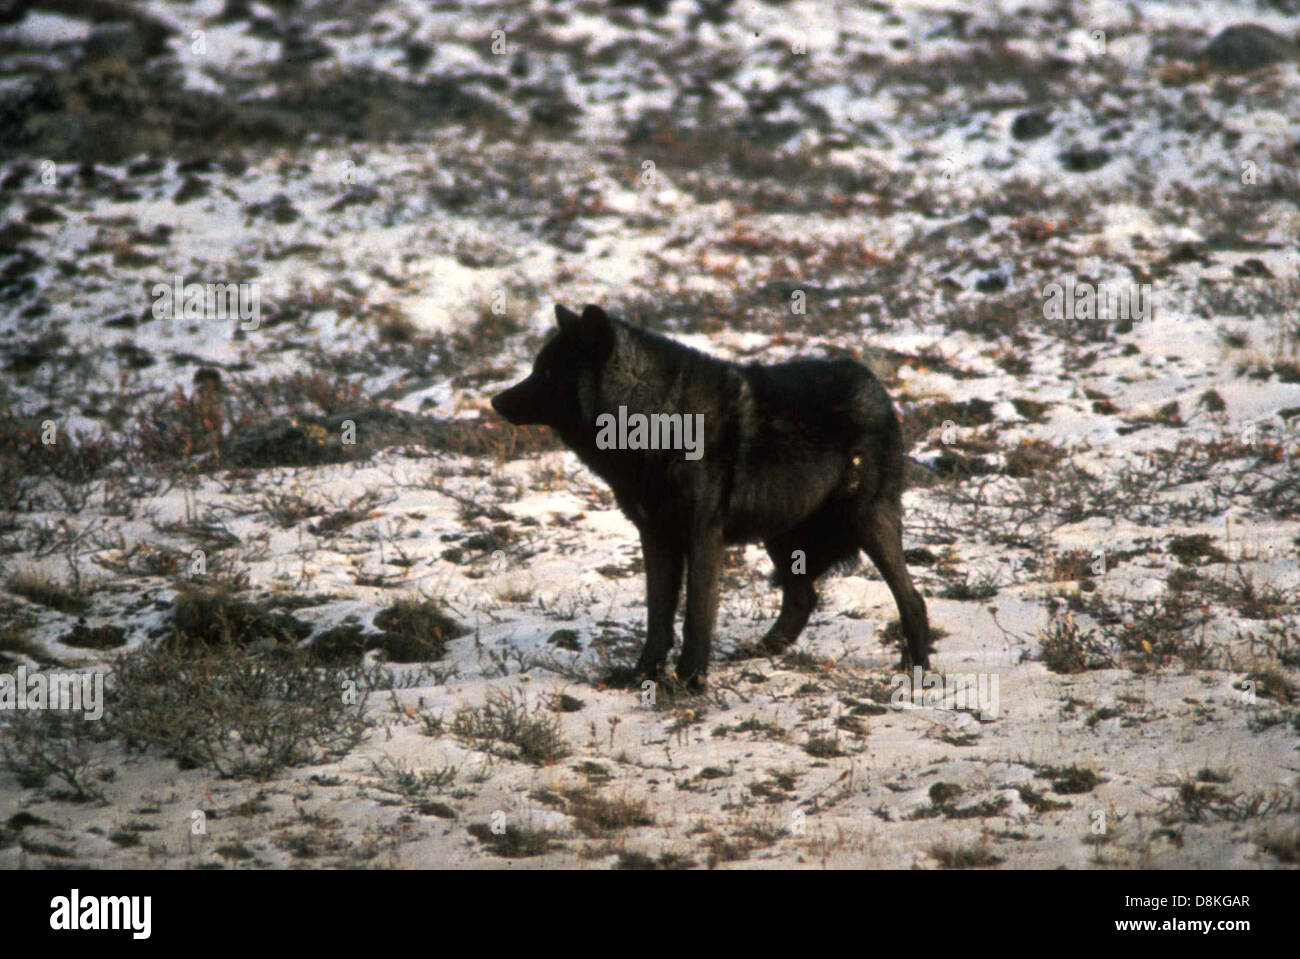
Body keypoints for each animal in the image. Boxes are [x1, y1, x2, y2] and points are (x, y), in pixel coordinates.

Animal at [491, 304, 930, 688]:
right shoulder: (655, 537)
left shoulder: (703, 536)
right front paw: (642, 676)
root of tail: (875, 383)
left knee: (912, 600)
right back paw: (760, 651)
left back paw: (918, 670)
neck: (656, 419)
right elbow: (658, 618)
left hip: (864, 523)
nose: (496, 400)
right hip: (781, 537)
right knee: (804, 597)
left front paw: (689, 681)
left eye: (547, 372)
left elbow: (696, 617)